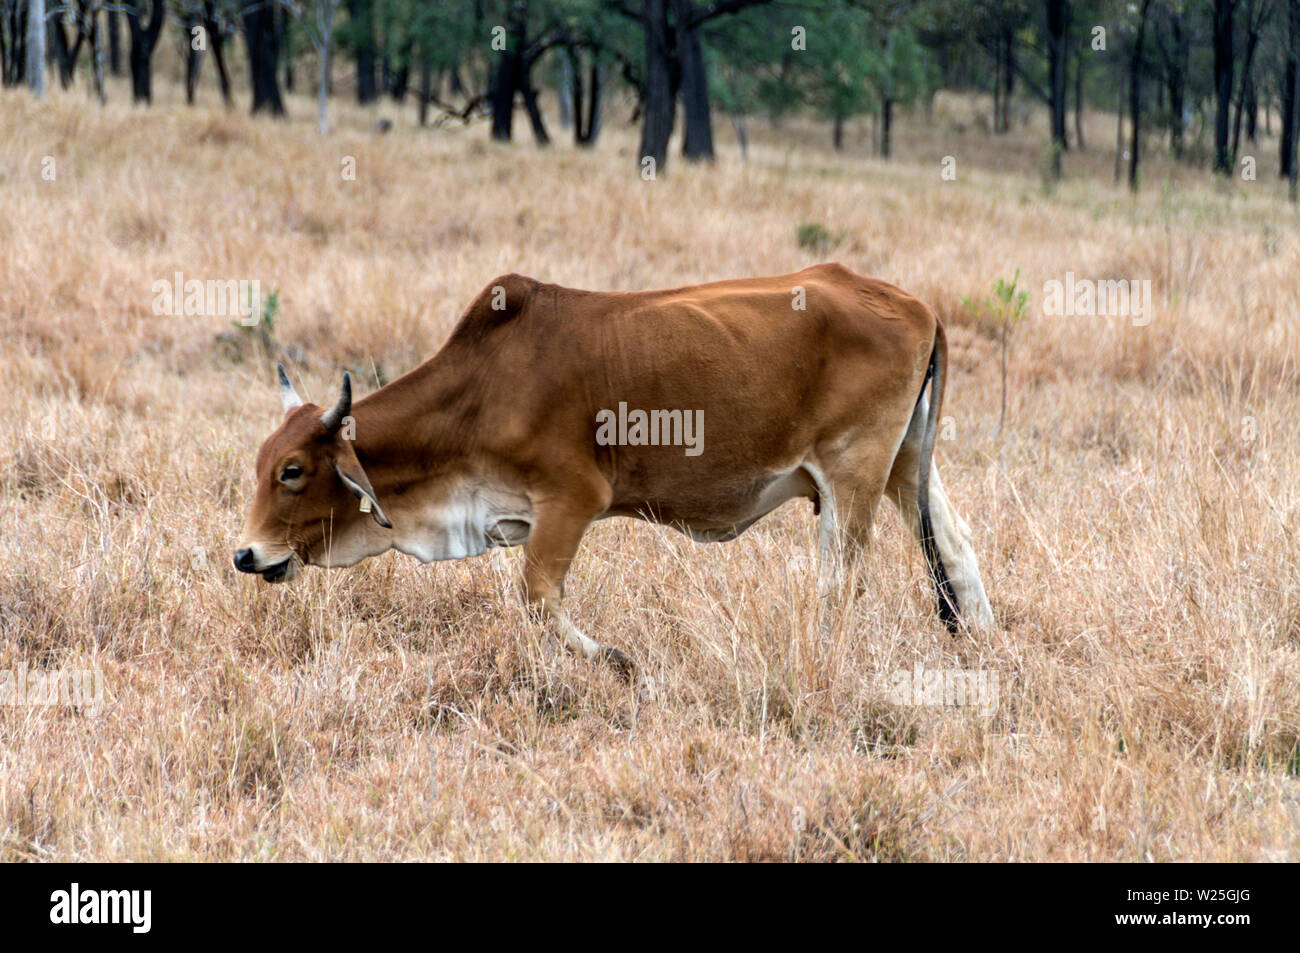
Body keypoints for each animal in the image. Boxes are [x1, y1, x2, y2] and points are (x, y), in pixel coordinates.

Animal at [234, 264, 994, 673]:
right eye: (264, 463)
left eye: (293, 471)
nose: (245, 554)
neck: (478, 392)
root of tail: (916, 305)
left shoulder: (571, 499)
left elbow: (537, 597)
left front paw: (618, 660)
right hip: (904, 462)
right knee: (958, 551)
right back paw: (988, 649)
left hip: (852, 472)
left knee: (841, 580)